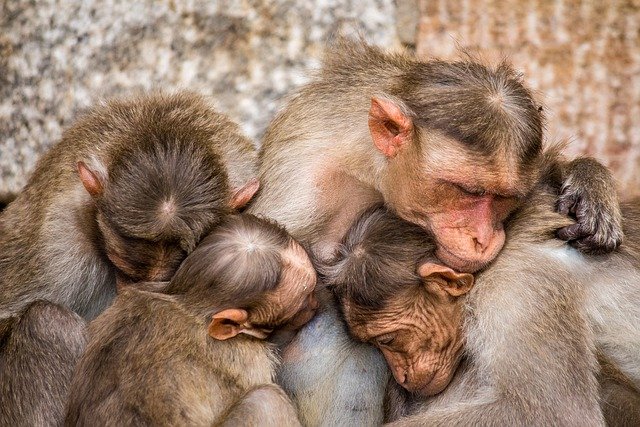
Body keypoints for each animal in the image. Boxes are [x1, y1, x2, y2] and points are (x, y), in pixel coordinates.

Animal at [249, 38, 625, 425]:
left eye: (503, 198)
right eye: (467, 191)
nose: (482, 239)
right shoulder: (305, 190)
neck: (370, 167)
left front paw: (588, 184)